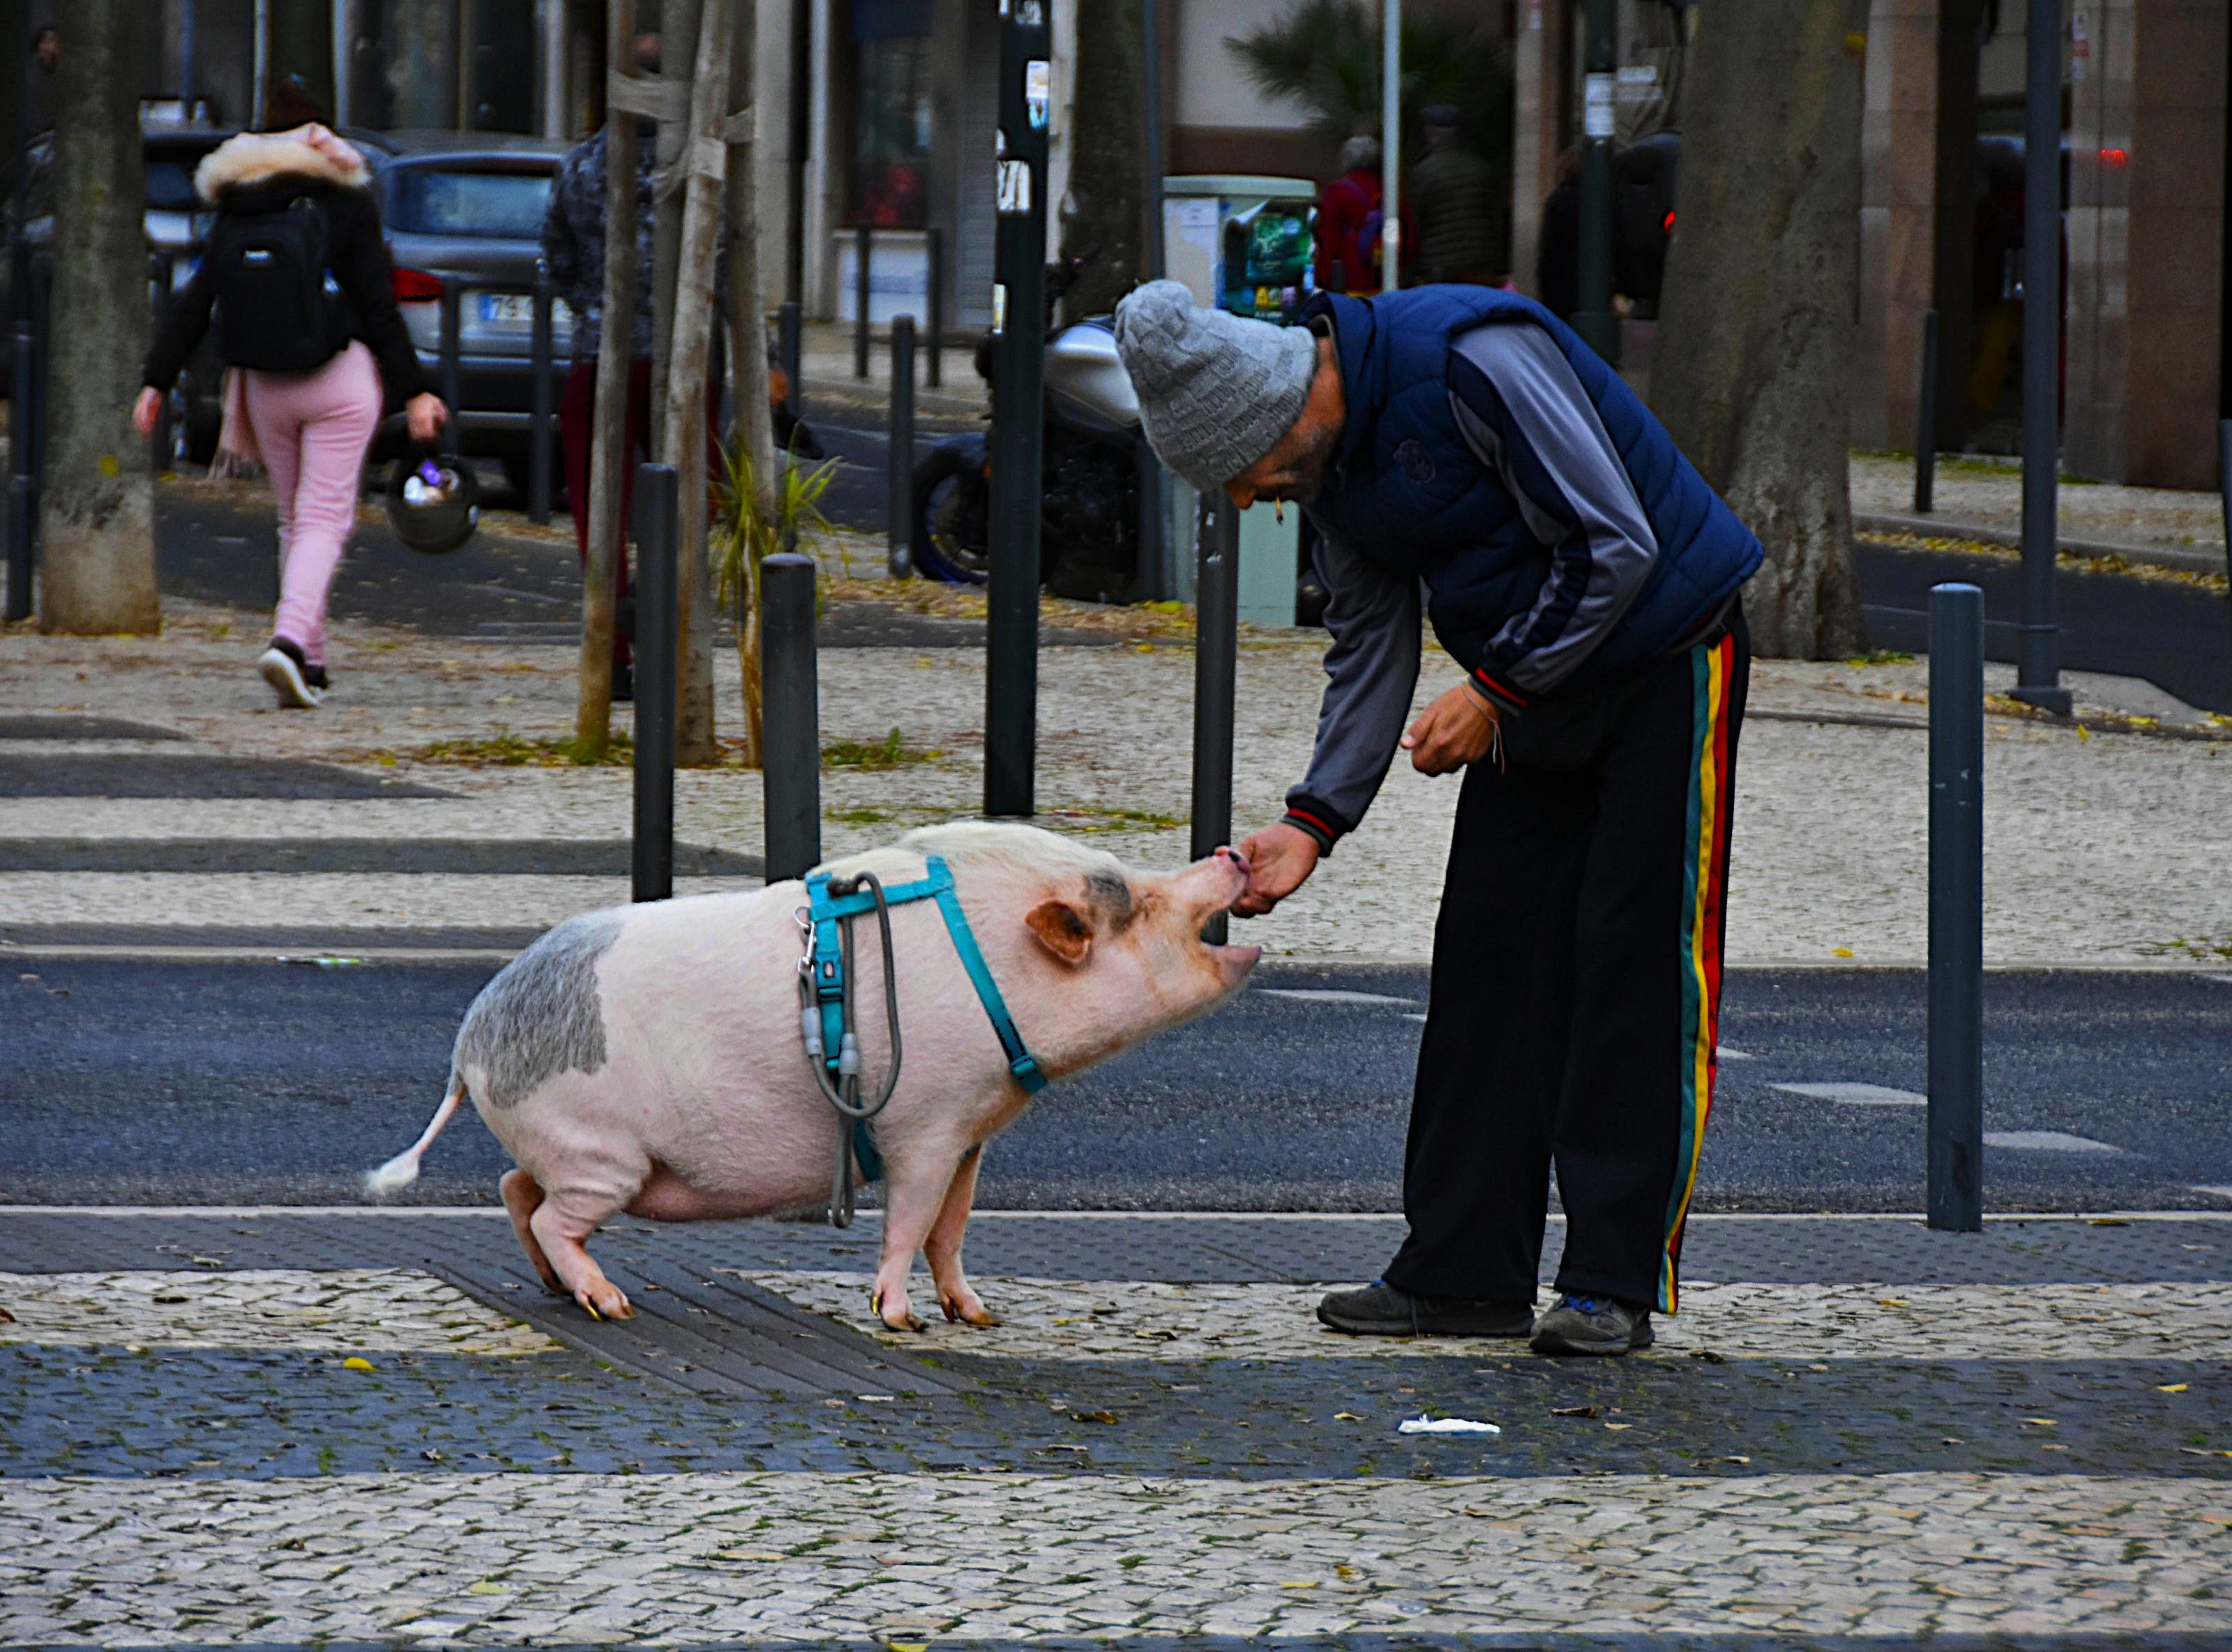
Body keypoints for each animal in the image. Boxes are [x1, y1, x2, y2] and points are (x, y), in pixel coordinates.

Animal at [367, 822, 1258, 1331]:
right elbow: (909, 1220)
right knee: (550, 1211)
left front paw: (978, 1316)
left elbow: (951, 1229)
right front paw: (899, 1321)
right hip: (601, 1154)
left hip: (576, 1151)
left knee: (516, 1188)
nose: (1232, 852)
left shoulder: (971, 1135)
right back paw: (610, 1303)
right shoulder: (923, 1124)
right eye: (1133, 907)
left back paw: (560, 1291)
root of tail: (471, 1043)